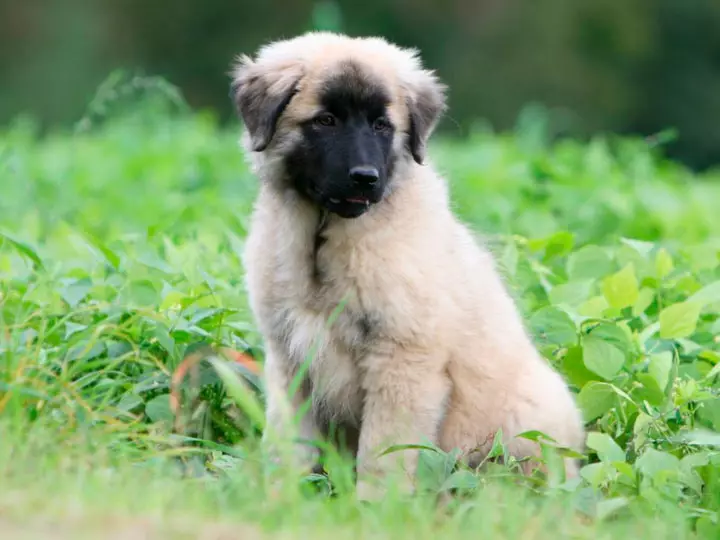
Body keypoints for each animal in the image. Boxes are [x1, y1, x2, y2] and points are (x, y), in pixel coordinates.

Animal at [231, 31, 584, 500]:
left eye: (382, 126)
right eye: (325, 121)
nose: (366, 178)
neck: (324, 239)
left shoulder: (402, 360)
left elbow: (384, 454)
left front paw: (373, 507)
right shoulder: (290, 360)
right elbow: (289, 445)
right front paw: (282, 498)